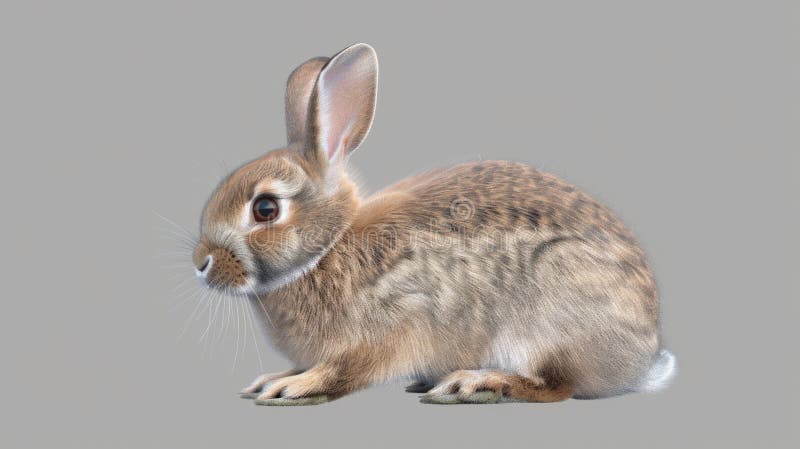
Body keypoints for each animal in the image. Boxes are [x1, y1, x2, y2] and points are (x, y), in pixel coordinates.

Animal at [192, 43, 676, 405]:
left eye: (265, 209)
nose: (201, 262)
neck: (327, 248)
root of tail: (640, 359)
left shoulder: (386, 329)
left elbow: (344, 371)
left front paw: (292, 386)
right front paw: (272, 378)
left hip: (549, 315)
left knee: (556, 386)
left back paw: (475, 382)